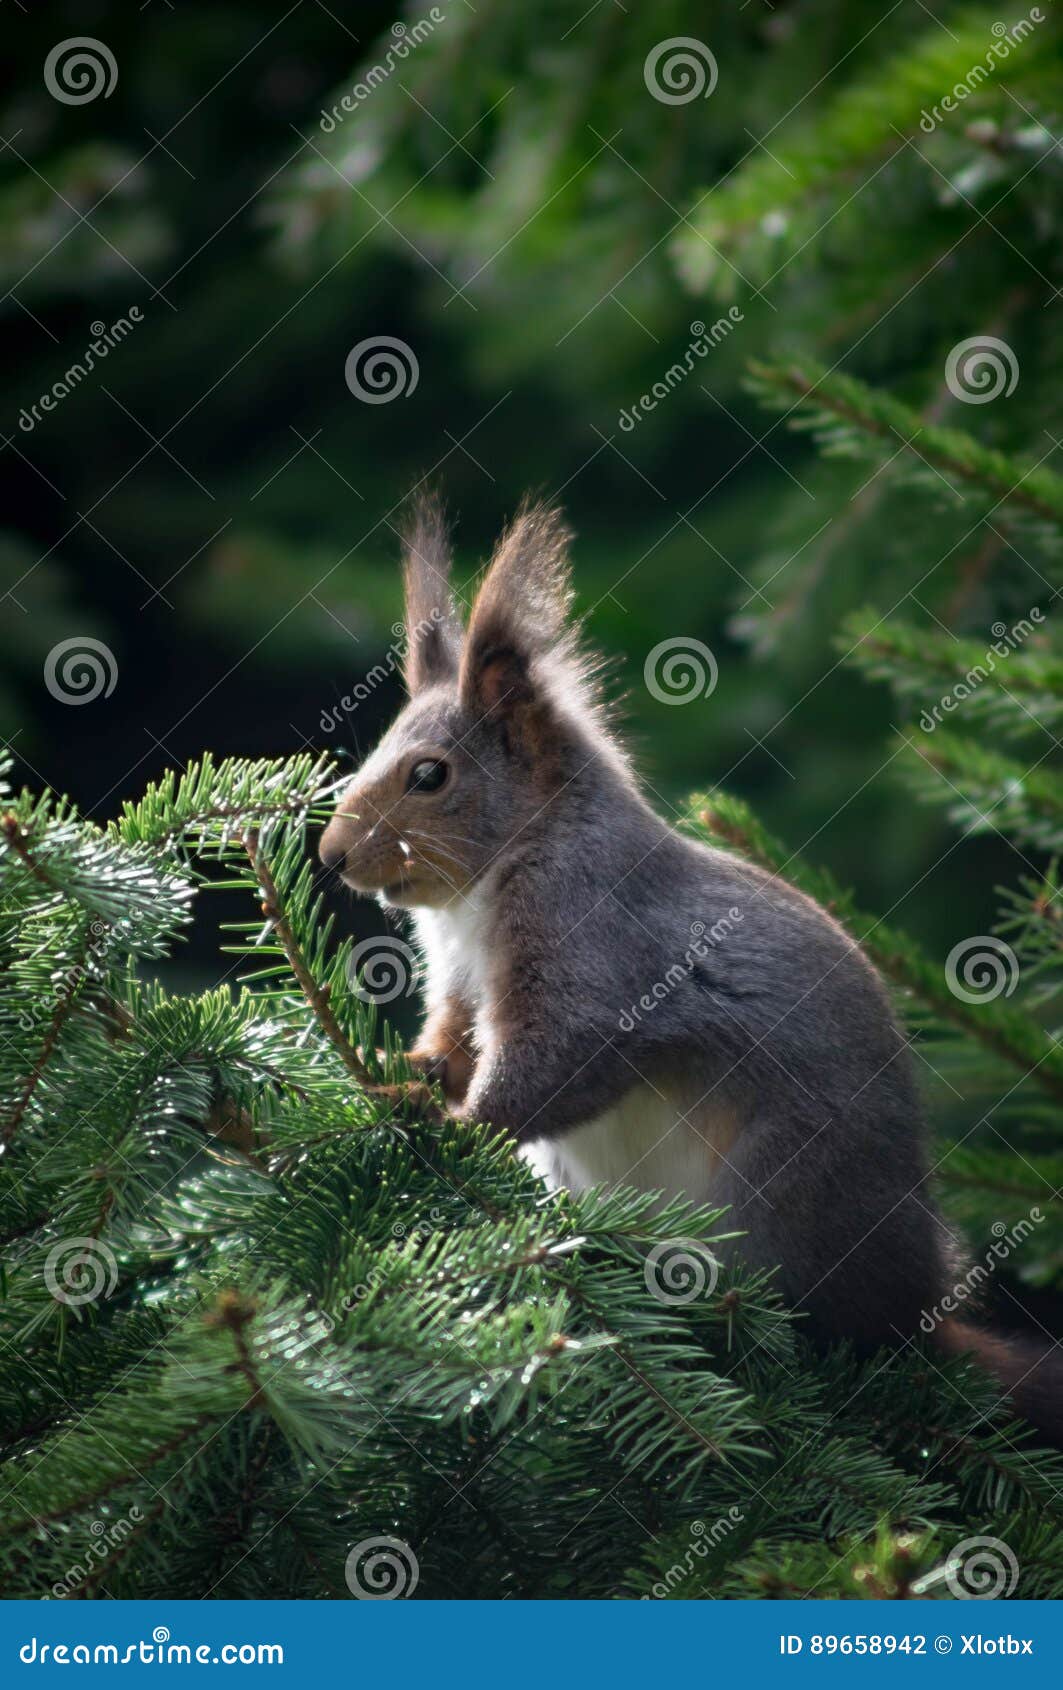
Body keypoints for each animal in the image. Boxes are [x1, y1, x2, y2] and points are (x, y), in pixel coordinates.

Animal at [319, 494, 1062, 1444]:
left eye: (427, 775)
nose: (331, 857)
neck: (484, 889)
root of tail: (916, 1307)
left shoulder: (594, 952)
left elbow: (550, 1066)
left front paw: (448, 1124)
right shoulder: (458, 983)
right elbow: (453, 1044)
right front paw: (395, 1074)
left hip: (780, 1184)